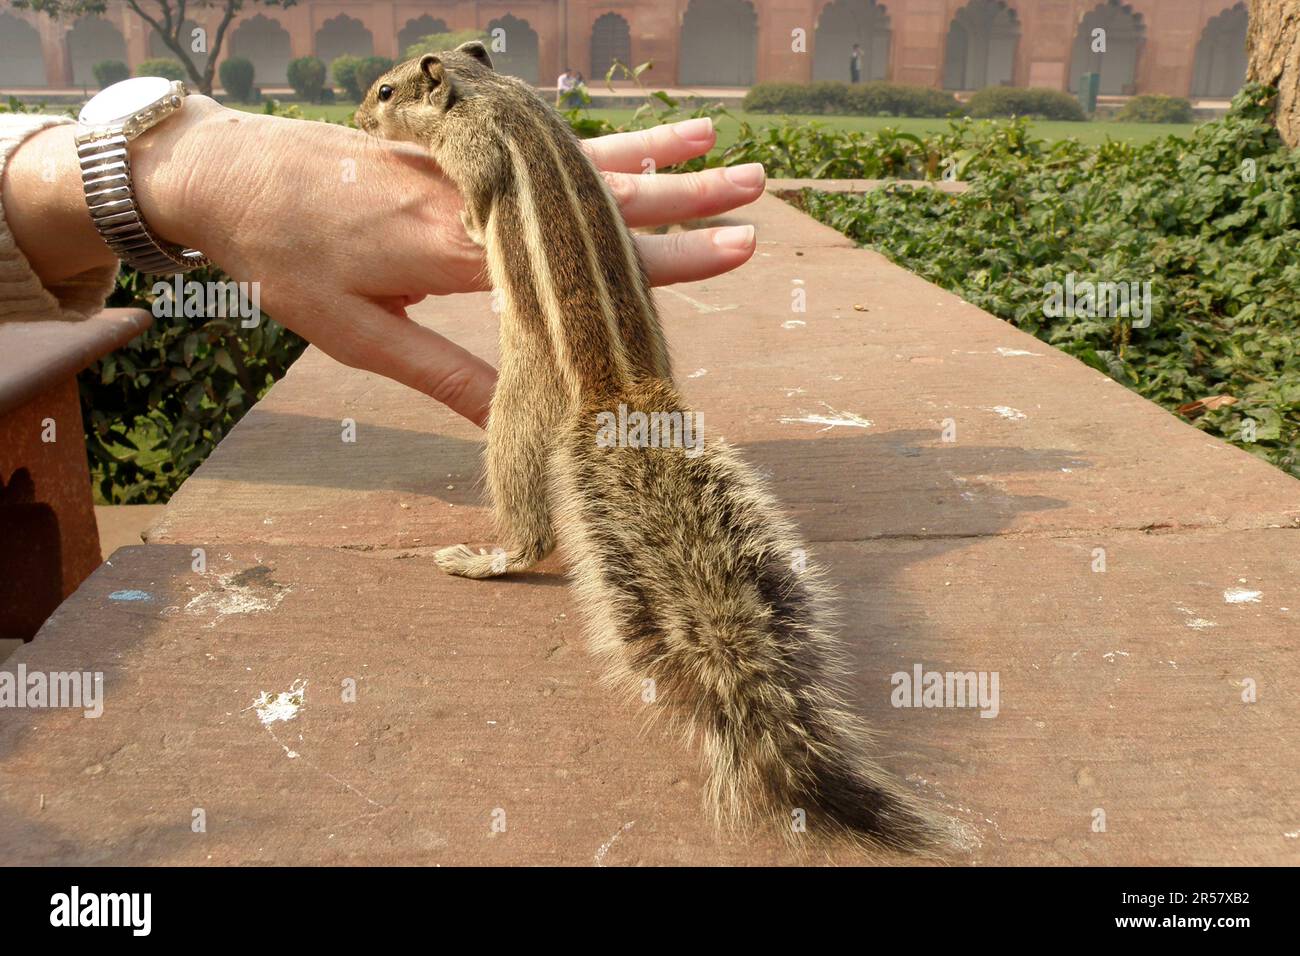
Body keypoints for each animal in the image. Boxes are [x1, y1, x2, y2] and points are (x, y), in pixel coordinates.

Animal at [357, 42, 946, 852]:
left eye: (385, 91)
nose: (356, 119)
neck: (490, 91)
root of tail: (620, 394)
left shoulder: (476, 155)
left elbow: (475, 200)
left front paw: (470, 226)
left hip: (517, 411)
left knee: (530, 522)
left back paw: (485, 559)